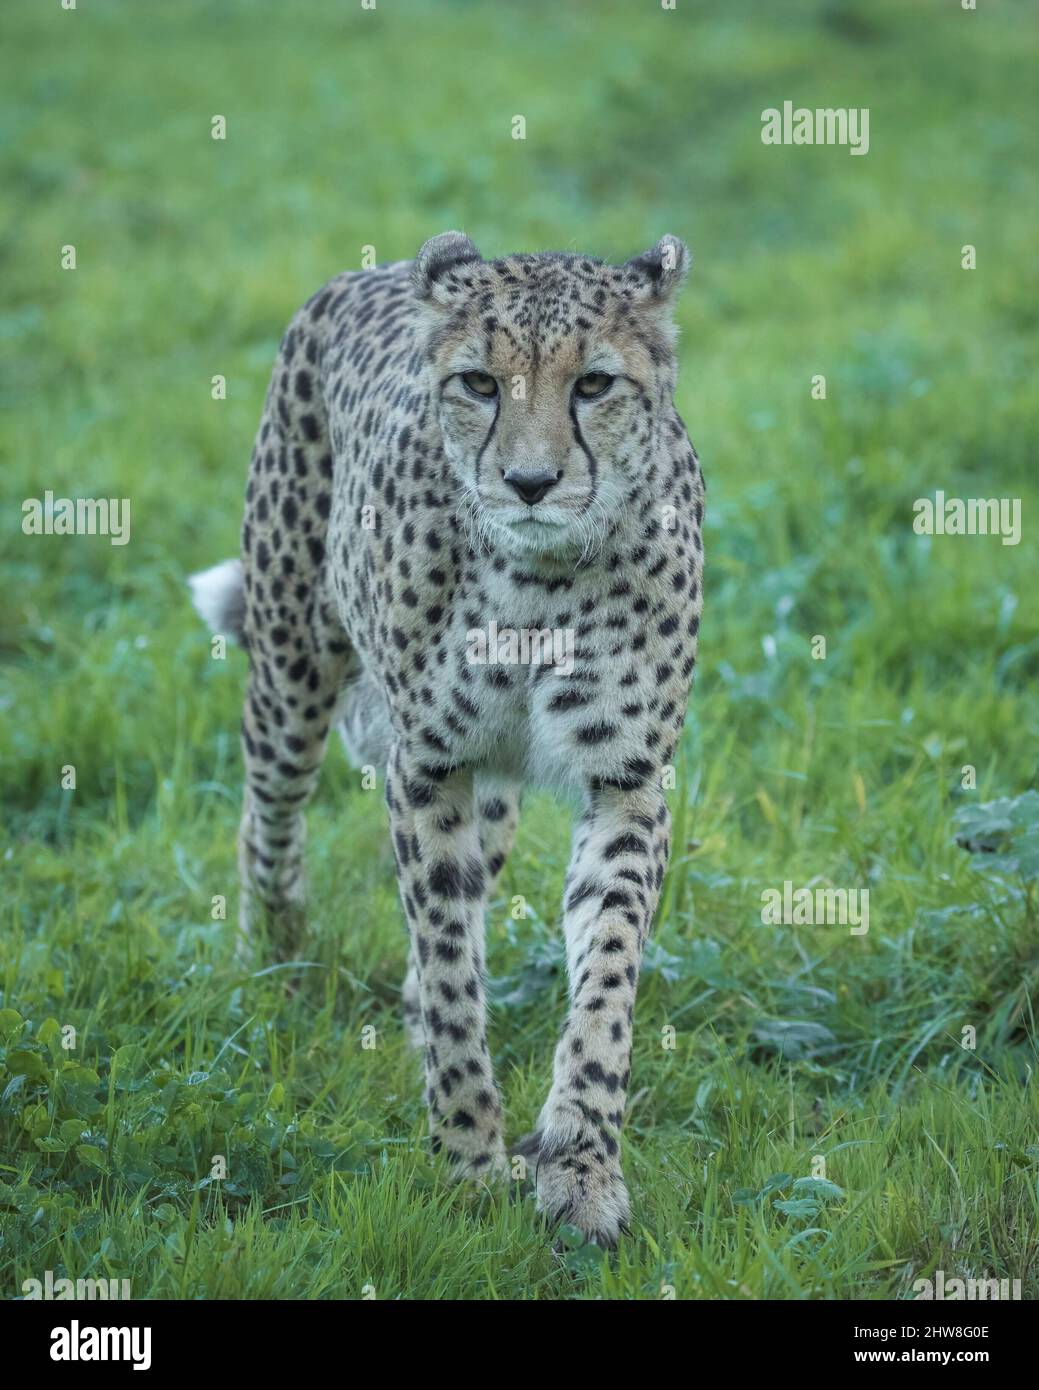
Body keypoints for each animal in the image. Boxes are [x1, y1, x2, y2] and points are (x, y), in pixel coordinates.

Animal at [189, 231, 705, 1246]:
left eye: (594, 384)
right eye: (478, 383)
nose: (531, 482)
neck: (541, 583)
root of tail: (376, 269)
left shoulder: (625, 778)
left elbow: (605, 976)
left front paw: (581, 1165)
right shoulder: (427, 767)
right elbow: (451, 964)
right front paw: (468, 1161)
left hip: (491, 787)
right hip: (292, 667)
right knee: (268, 814)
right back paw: (275, 953)